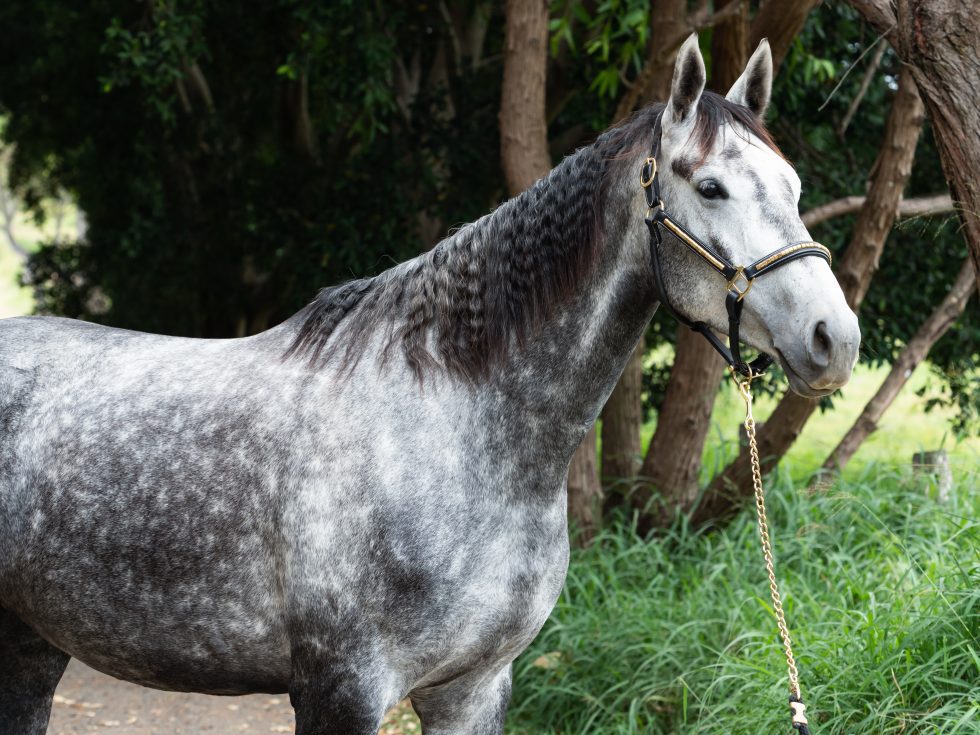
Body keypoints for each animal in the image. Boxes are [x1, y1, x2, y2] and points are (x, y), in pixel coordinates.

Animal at [0, 35, 859, 734]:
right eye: (710, 187)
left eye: (792, 184)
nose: (835, 338)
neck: (455, 423)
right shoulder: (341, 691)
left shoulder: (473, 686)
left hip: (31, 646)